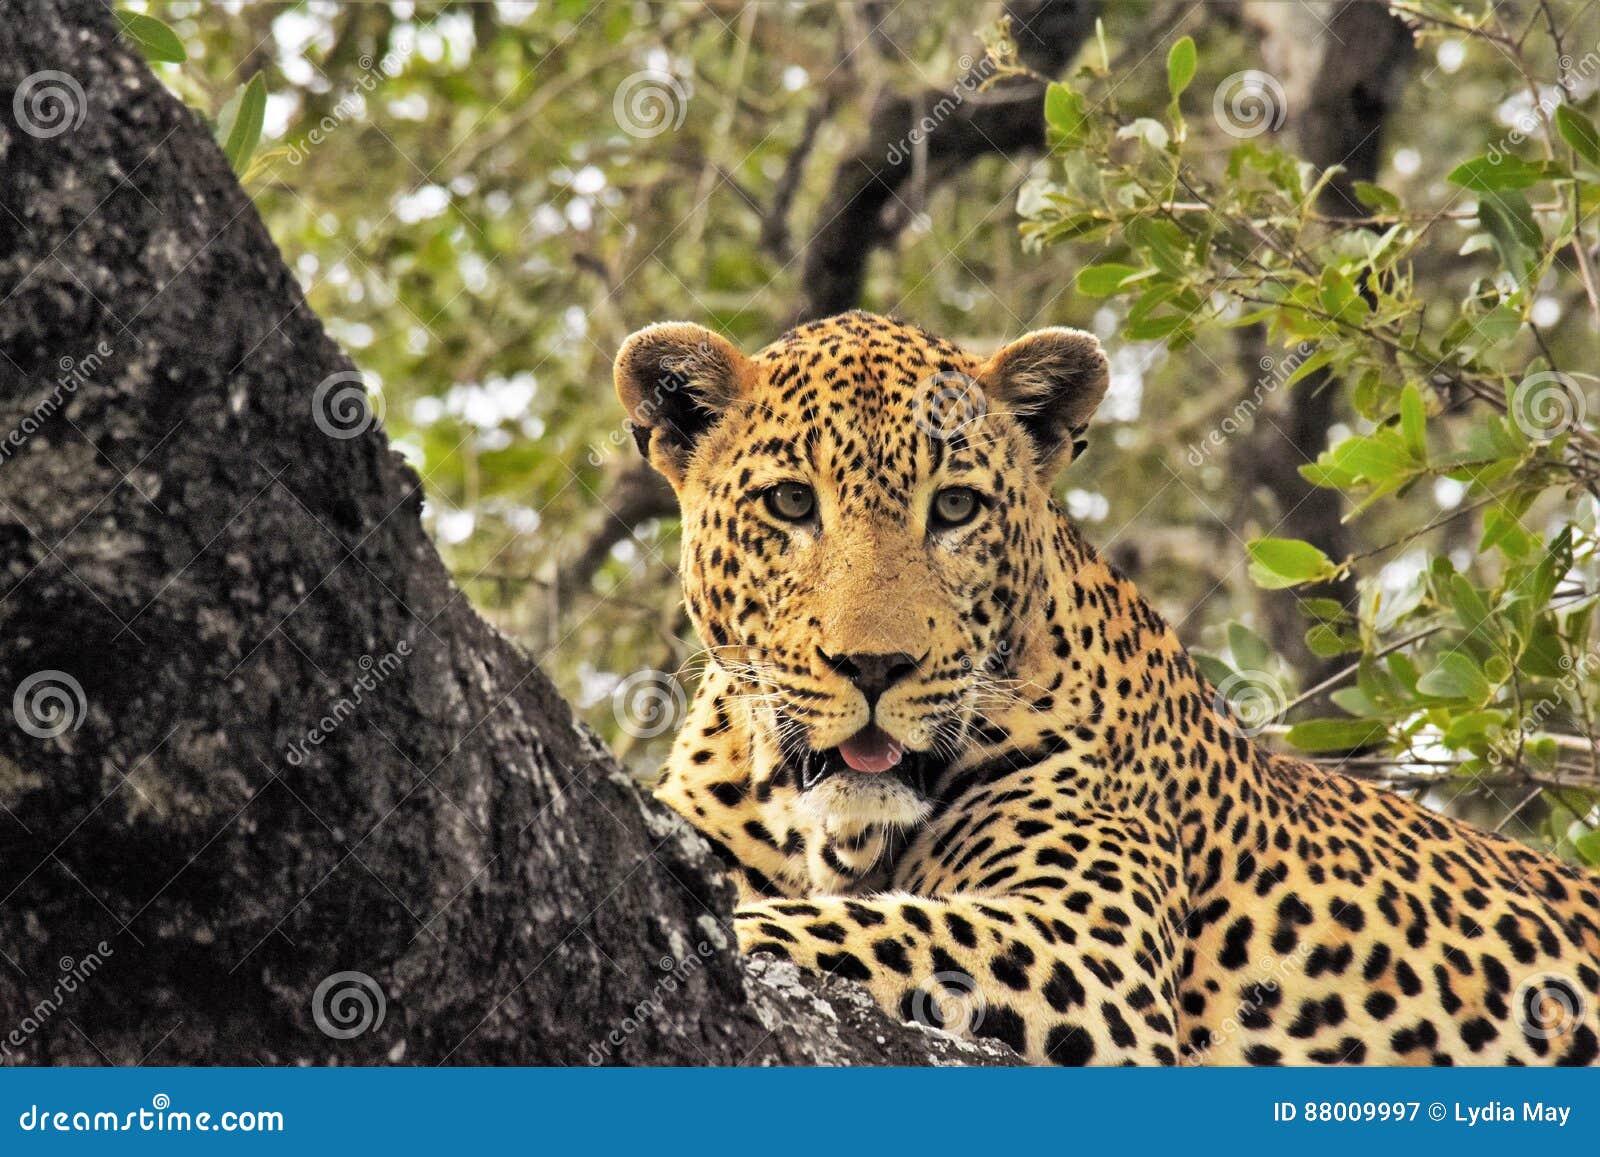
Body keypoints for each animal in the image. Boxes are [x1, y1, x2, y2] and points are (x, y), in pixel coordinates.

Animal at [612, 309, 1600, 1066]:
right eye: (789, 503)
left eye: (956, 508)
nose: (876, 665)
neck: (835, 833)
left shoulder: (1091, 950)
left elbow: (840, 927)